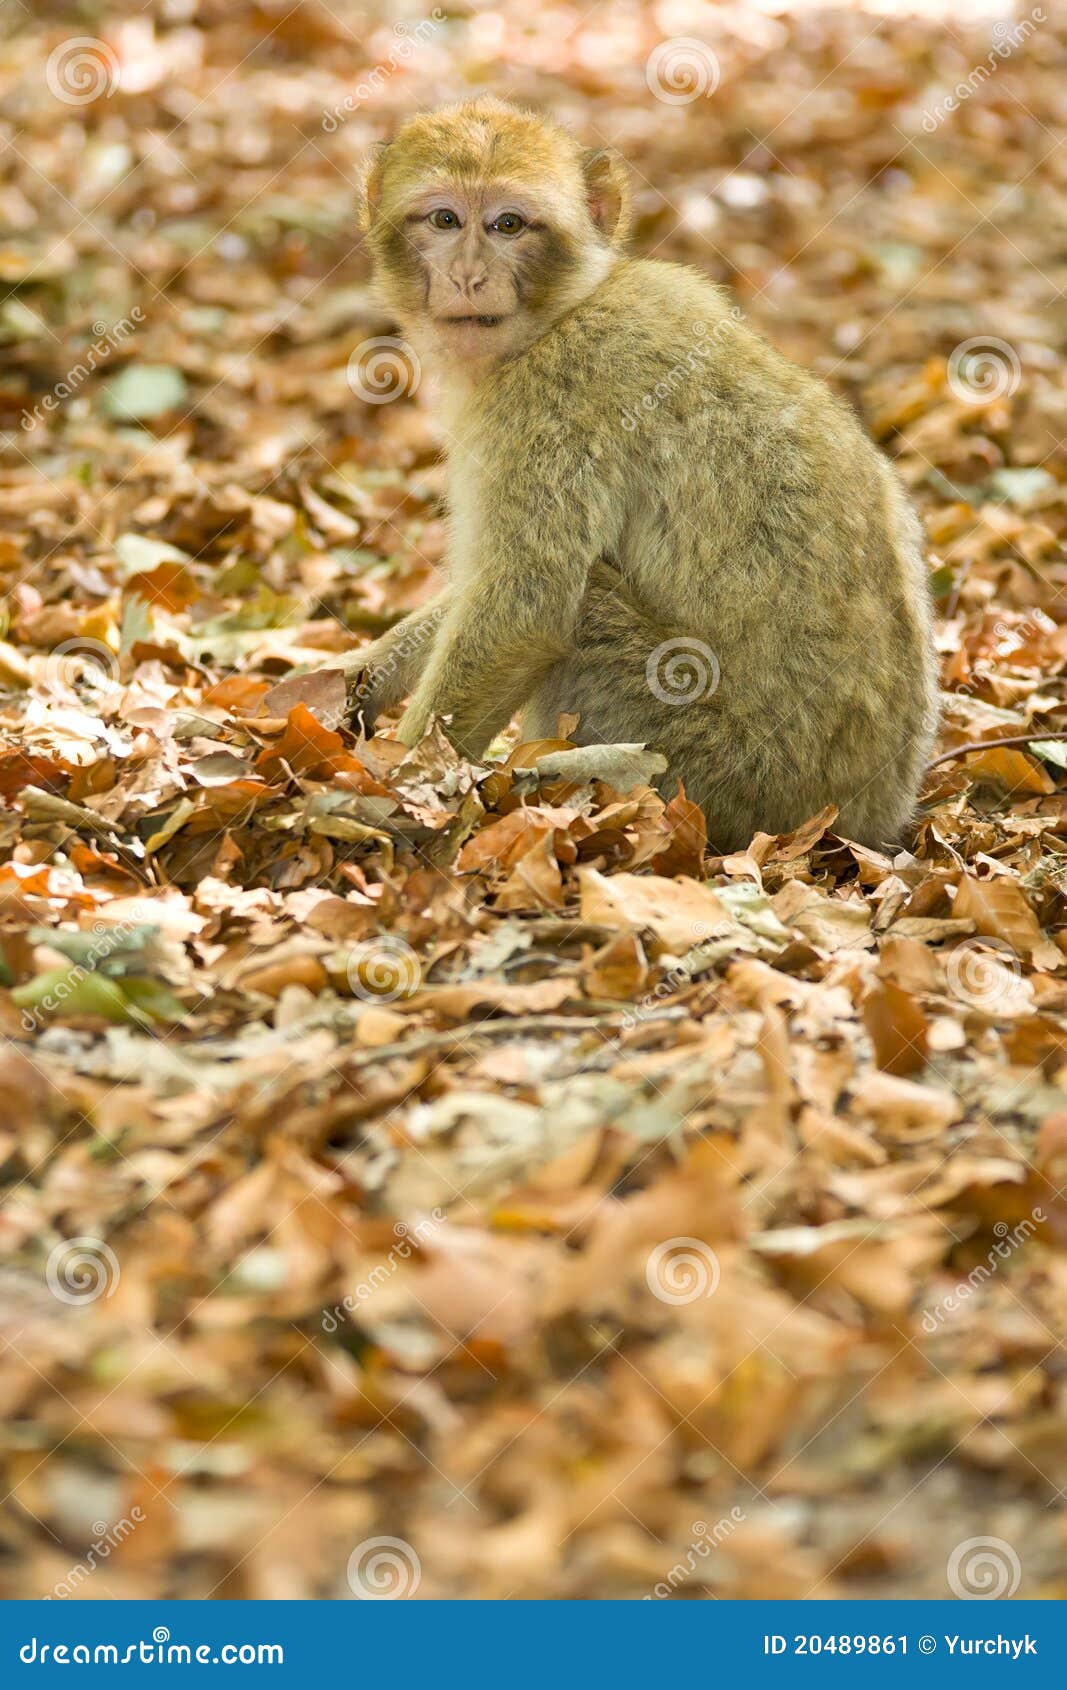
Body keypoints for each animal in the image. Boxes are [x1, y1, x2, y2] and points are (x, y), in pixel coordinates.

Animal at [346, 96, 938, 853]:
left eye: (508, 224)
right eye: (445, 219)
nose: (469, 276)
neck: (561, 312)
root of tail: (874, 817)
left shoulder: (550, 401)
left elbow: (524, 607)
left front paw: (399, 790)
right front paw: (357, 679)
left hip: (726, 771)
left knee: (588, 607)